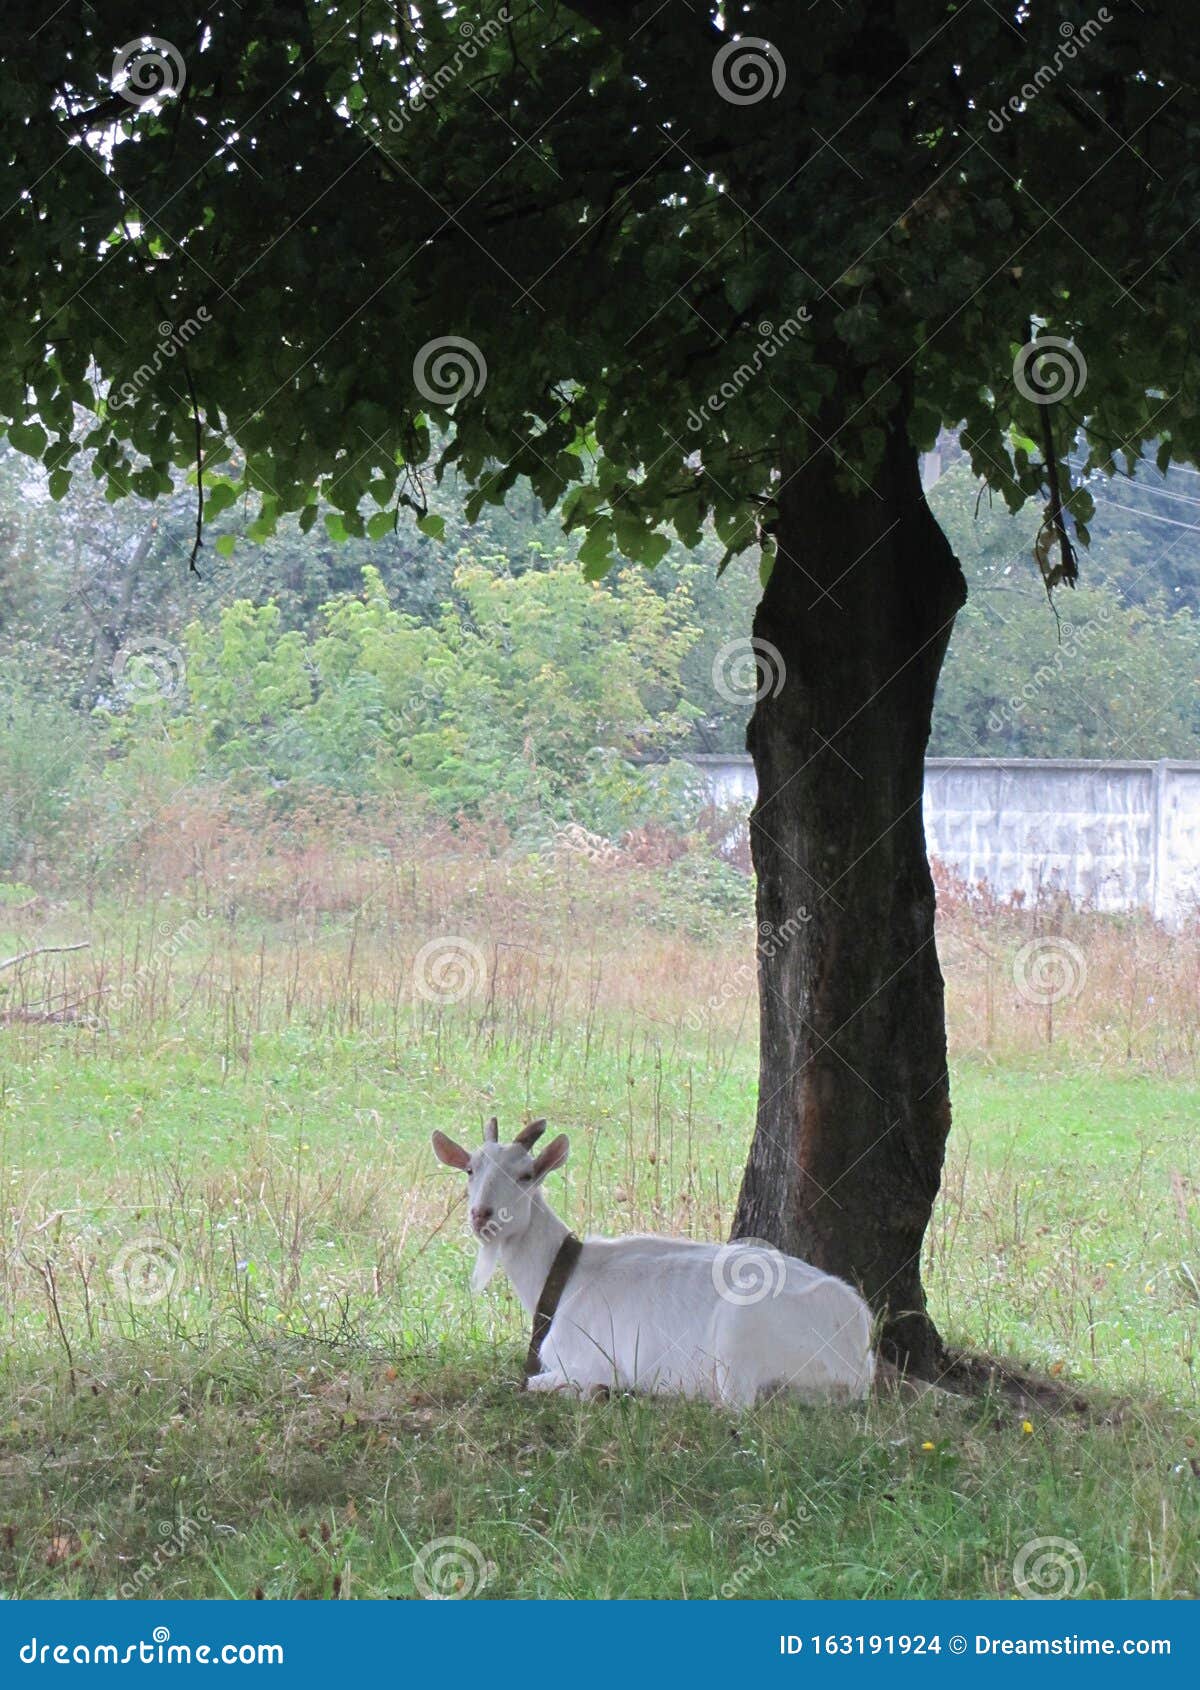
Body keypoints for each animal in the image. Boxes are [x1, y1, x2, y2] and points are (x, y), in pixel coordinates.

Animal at [431, 1116, 875, 1408]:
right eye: (470, 1169)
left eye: (526, 1175)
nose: (482, 1214)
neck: (562, 1274)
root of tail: (858, 1334)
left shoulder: (591, 1360)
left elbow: (532, 1383)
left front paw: (598, 1391)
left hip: (739, 1340)